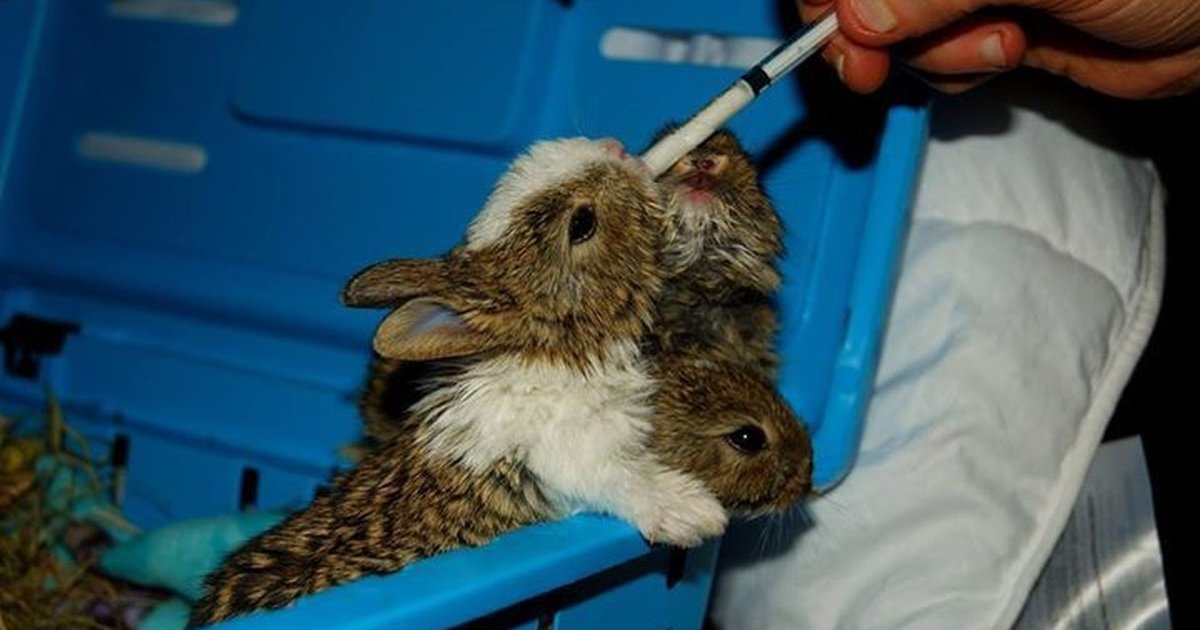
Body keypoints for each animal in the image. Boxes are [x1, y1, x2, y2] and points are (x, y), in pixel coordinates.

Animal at [189, 137, 728, 626]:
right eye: (581, 224)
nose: (617, 148)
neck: (553, 355)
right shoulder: (575, 458)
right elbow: (624, 479)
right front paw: (698, 513)